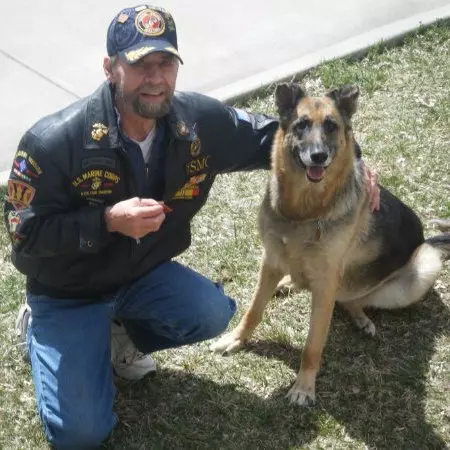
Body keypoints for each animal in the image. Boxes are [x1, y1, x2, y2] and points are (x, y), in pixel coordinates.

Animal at [211, 82, 450, 406]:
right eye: (301, 125)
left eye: (331, 126)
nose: (318, 156)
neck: (305, 212)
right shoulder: (270, 261)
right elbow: (253, 310)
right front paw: (235, 339)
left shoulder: (325, 285)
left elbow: (313, 344)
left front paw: (304, 387)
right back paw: (289, 284)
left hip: (421, 268)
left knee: (353, 300)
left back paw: (360, 317)